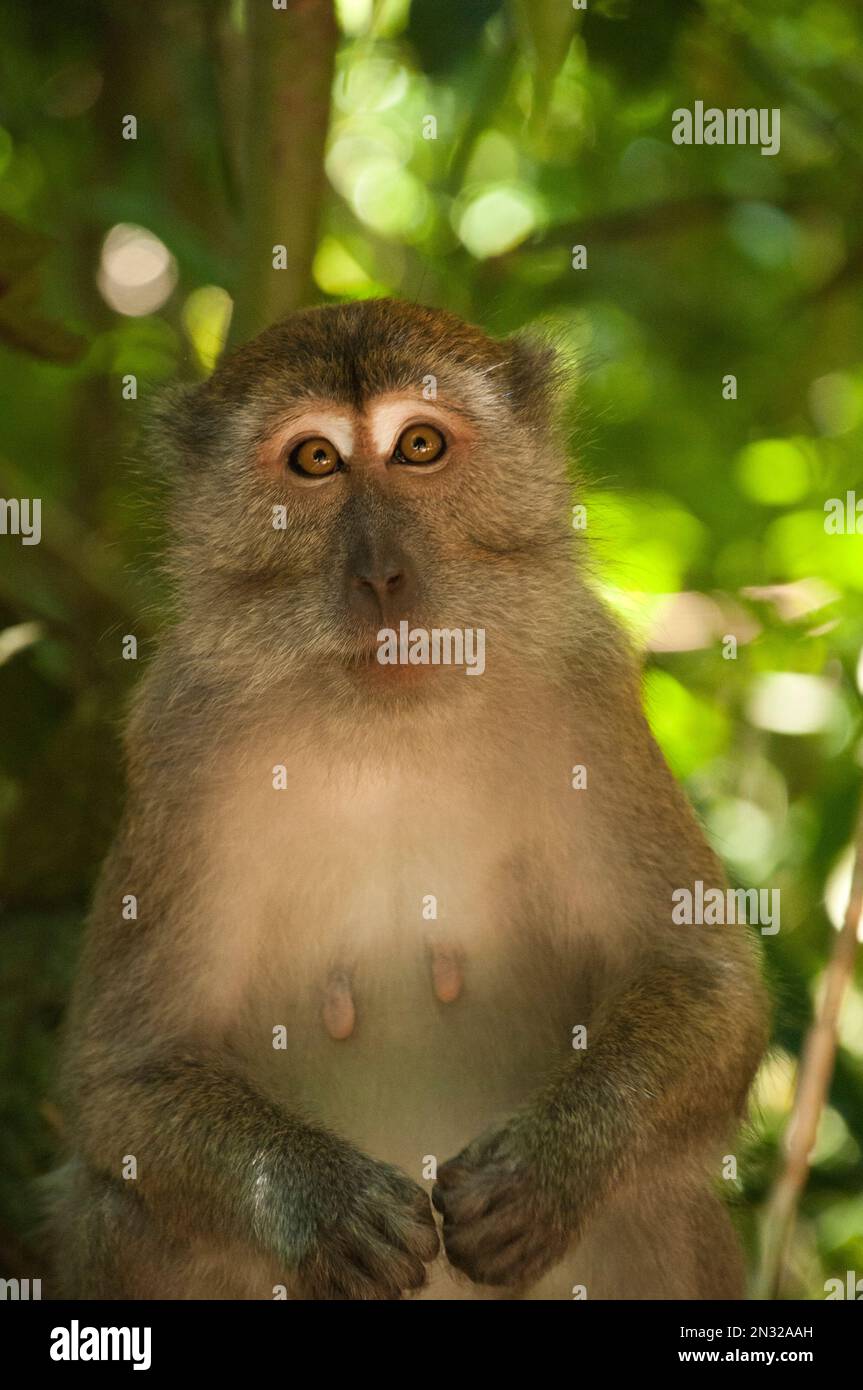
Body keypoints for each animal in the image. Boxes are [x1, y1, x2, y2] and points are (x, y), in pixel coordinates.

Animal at [48, 297, 768, 1300]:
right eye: (315, 459)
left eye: (419, 445)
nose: (381, 575)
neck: (386, 726)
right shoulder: (180, 736)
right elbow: (121, 1076)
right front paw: (318, 1205)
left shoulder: (584, 685)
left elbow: (705, 980)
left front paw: (547, 1168)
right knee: (120, 1213)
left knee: (657, 1196)